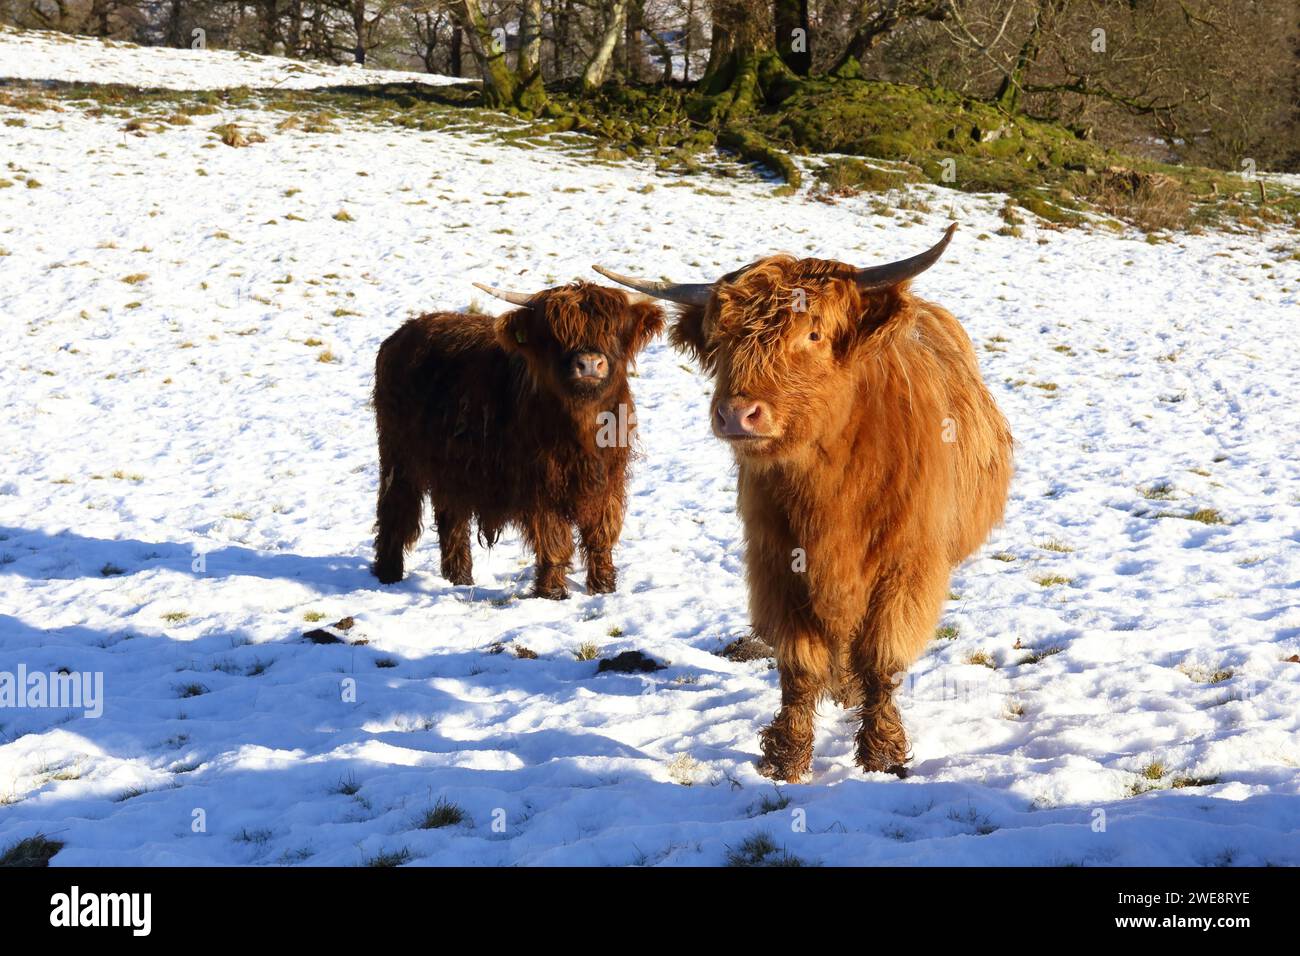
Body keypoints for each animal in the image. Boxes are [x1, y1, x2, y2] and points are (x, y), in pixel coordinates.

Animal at [371, 281, 664, 599]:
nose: (589, 364)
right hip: (398, 456)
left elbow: (601, 535)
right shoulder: (542, 486)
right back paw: (388, 575)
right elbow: (554, 539)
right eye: (557, 334)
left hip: (451, 468)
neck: (583, 428)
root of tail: (401, 334)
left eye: (612, 329)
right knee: (395, 510)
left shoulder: (609, 482)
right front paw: (552, 593)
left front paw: (604, 588)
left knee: (451, 516)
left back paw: (460, 578)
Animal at [594, 225, 1013, 780]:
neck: (830, 492)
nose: (737, 413)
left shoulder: (907, 567)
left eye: (813, 334)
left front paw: (881, 753)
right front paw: (786, 757)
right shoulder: (776, 562)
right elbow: (799, 663)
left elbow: (881, 657)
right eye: (722, 338)